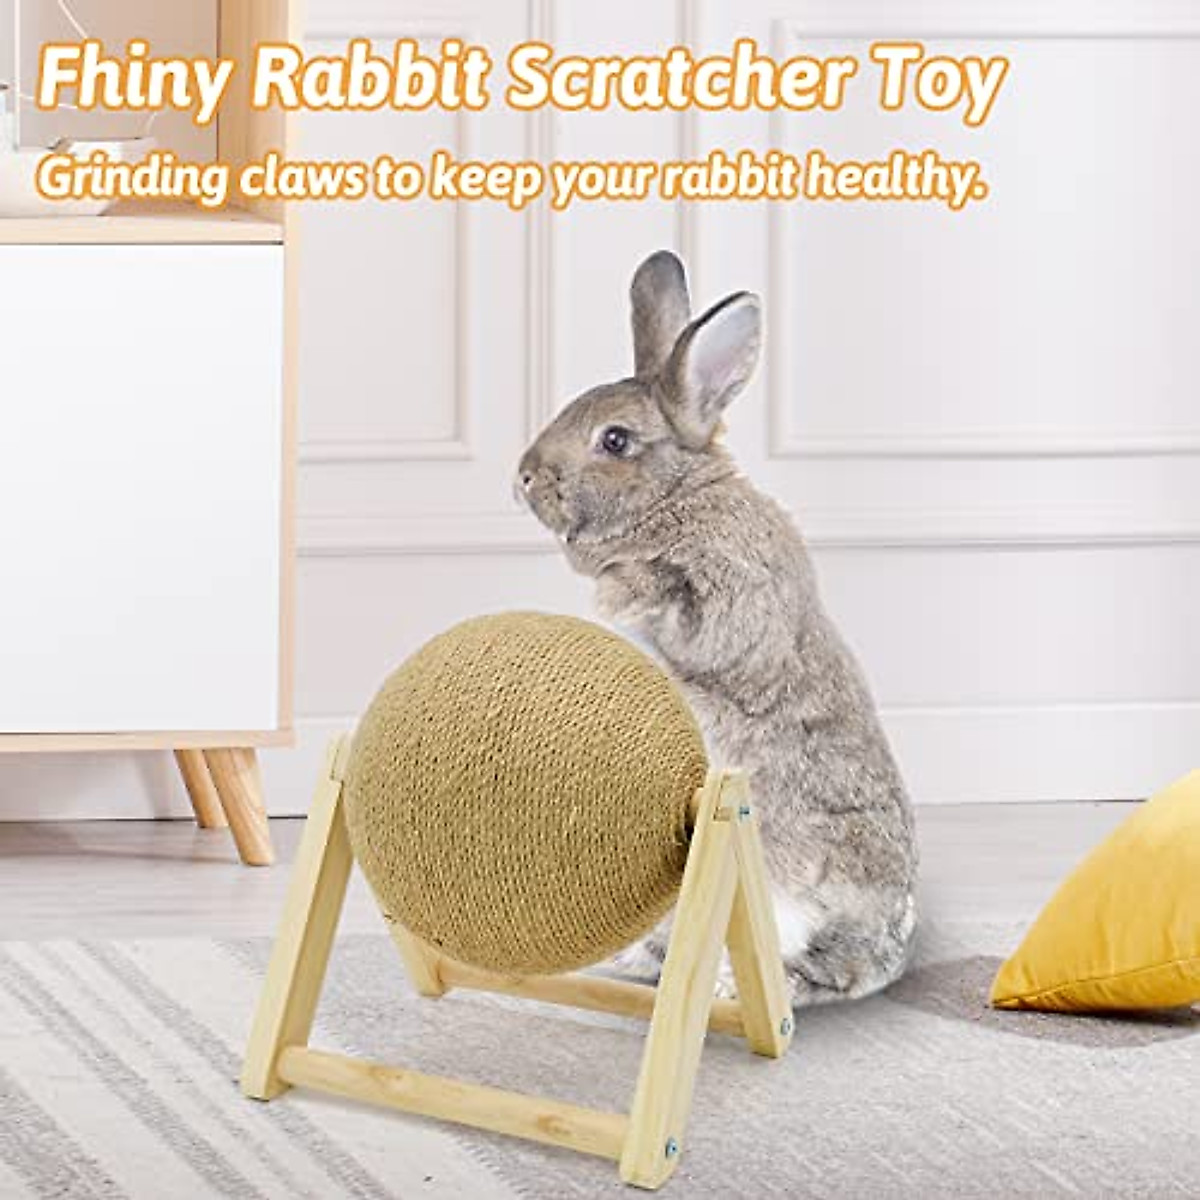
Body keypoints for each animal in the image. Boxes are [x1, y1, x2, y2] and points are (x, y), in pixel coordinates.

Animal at [515, 250, 918, 1007]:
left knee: (824, 970)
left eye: (615, 440)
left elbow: (691, 617)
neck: (678, 496)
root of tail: (892, 950)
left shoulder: (733, 597)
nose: (524, 477)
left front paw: (617, 589)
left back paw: (734, 988)